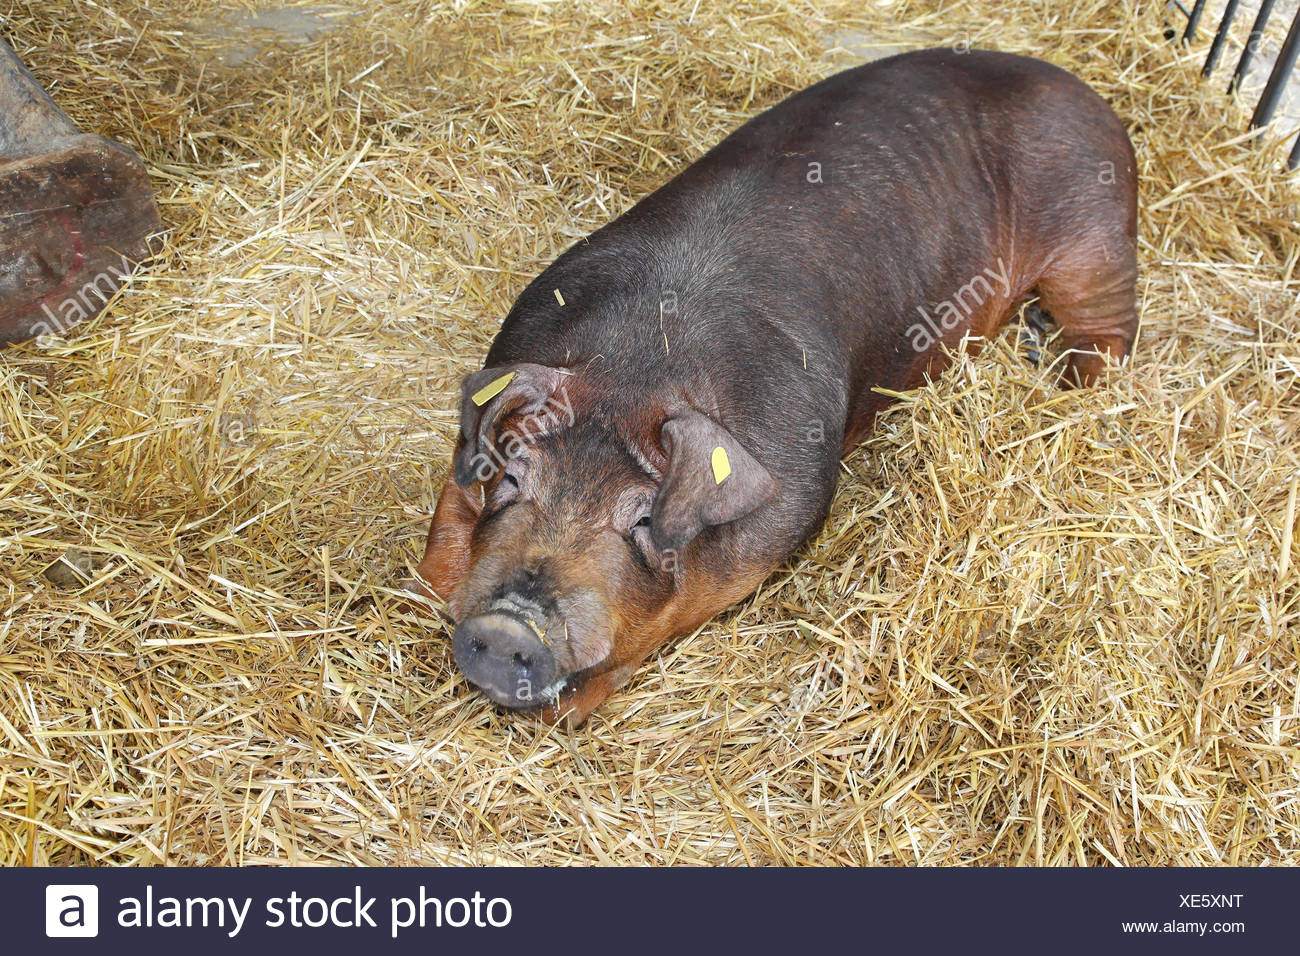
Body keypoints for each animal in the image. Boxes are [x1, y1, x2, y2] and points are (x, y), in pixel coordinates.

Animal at [406, 48, 1138, 726]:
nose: (508, 625)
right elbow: (443, 540)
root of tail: (1078, 89)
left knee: (1110, 335)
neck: (636, 367)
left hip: (1094, 233)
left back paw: (1064, 381)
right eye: (511, 479)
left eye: (644, 519)